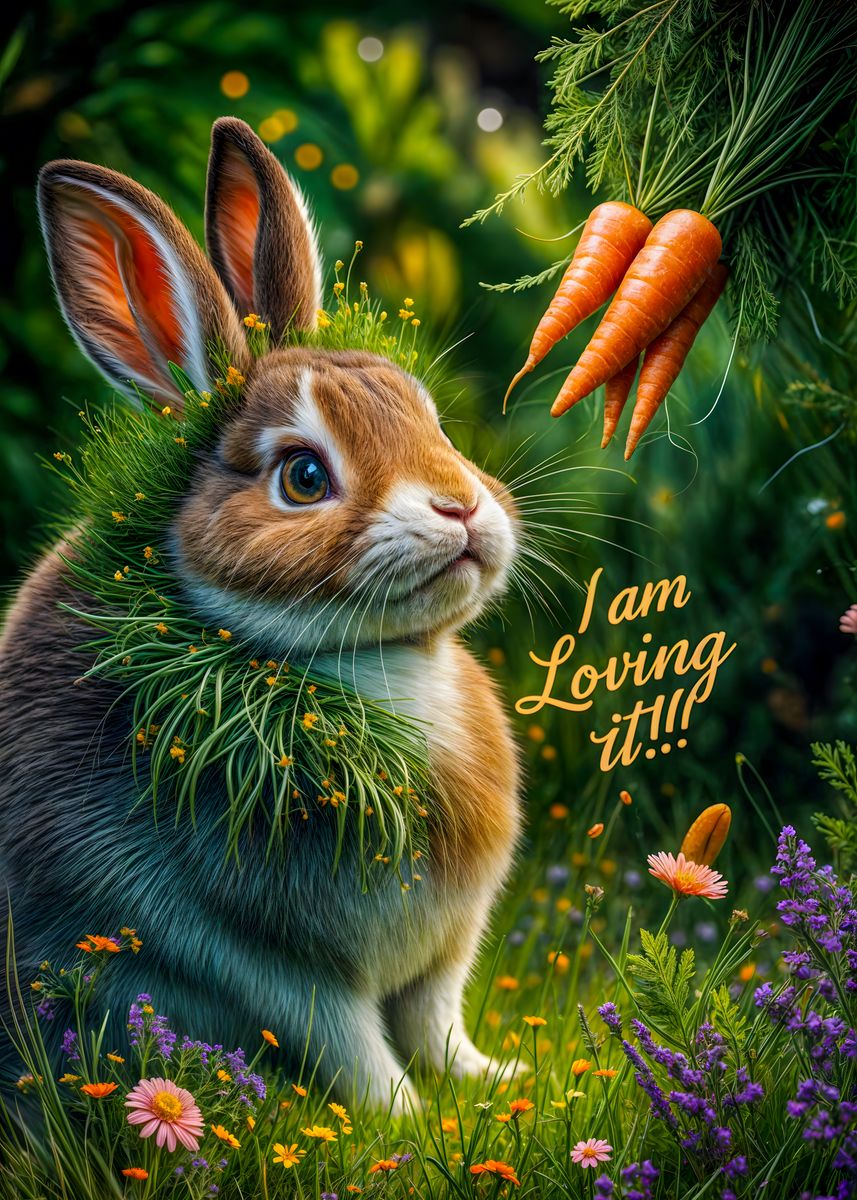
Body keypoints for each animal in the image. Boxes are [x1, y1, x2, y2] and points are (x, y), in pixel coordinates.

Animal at [0, 117, 521, 1112]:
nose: (462, 508)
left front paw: (492, 1078)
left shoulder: (445, 954)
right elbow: (351, 1043)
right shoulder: (255, 955)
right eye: (304, 476)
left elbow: (439, 1025)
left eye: (431, 421)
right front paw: (407, 1121)